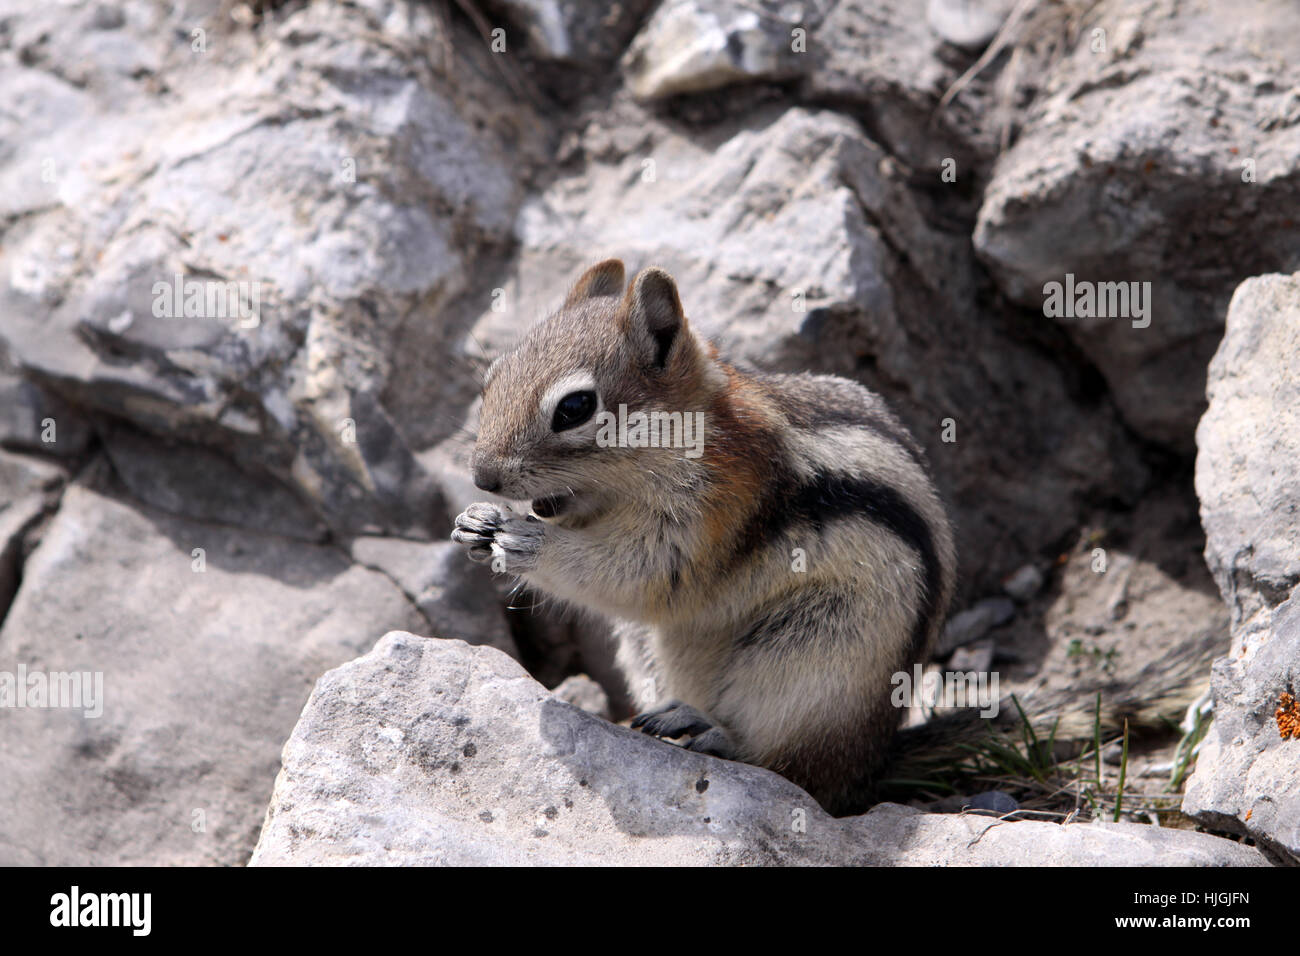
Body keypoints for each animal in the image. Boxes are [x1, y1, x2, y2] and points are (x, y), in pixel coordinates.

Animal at [451, 259, 957, 816]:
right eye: (492, 376)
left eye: (575, 408)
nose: (483, 477)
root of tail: (871, 761)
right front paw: (476, 521)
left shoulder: (717, 508)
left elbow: (642, 575)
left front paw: (525, 541)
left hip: (816, 656)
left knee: (796, 766)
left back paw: (713, 731)